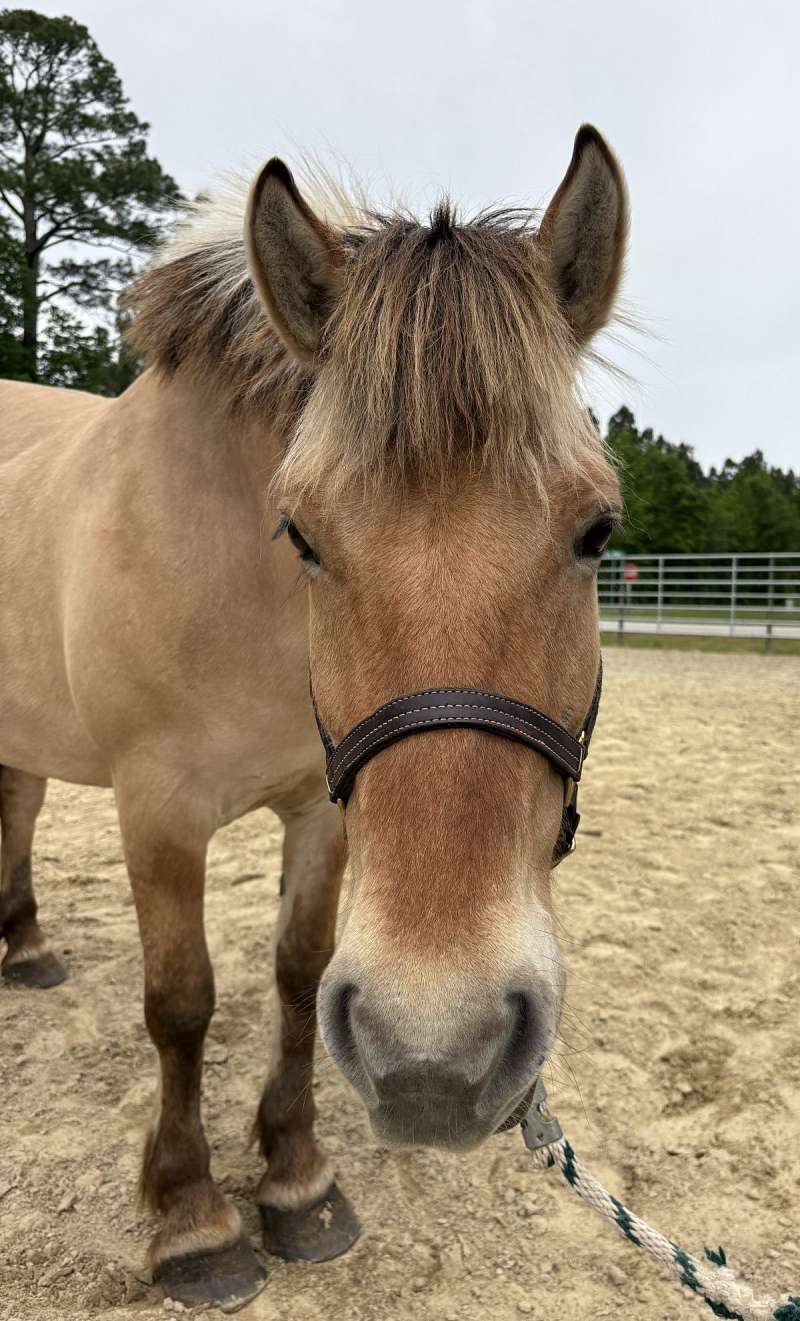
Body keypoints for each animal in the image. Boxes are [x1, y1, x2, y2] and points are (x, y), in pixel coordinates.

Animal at [0, 124, 627, 1310]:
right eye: (299, 533)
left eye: (597, 532)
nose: (438, 1061)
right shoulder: (158, 815)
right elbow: (181, 1002)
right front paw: (193, 1218)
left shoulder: (323, 810)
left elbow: (297, 976)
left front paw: (295, 1181)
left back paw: (24, 946)